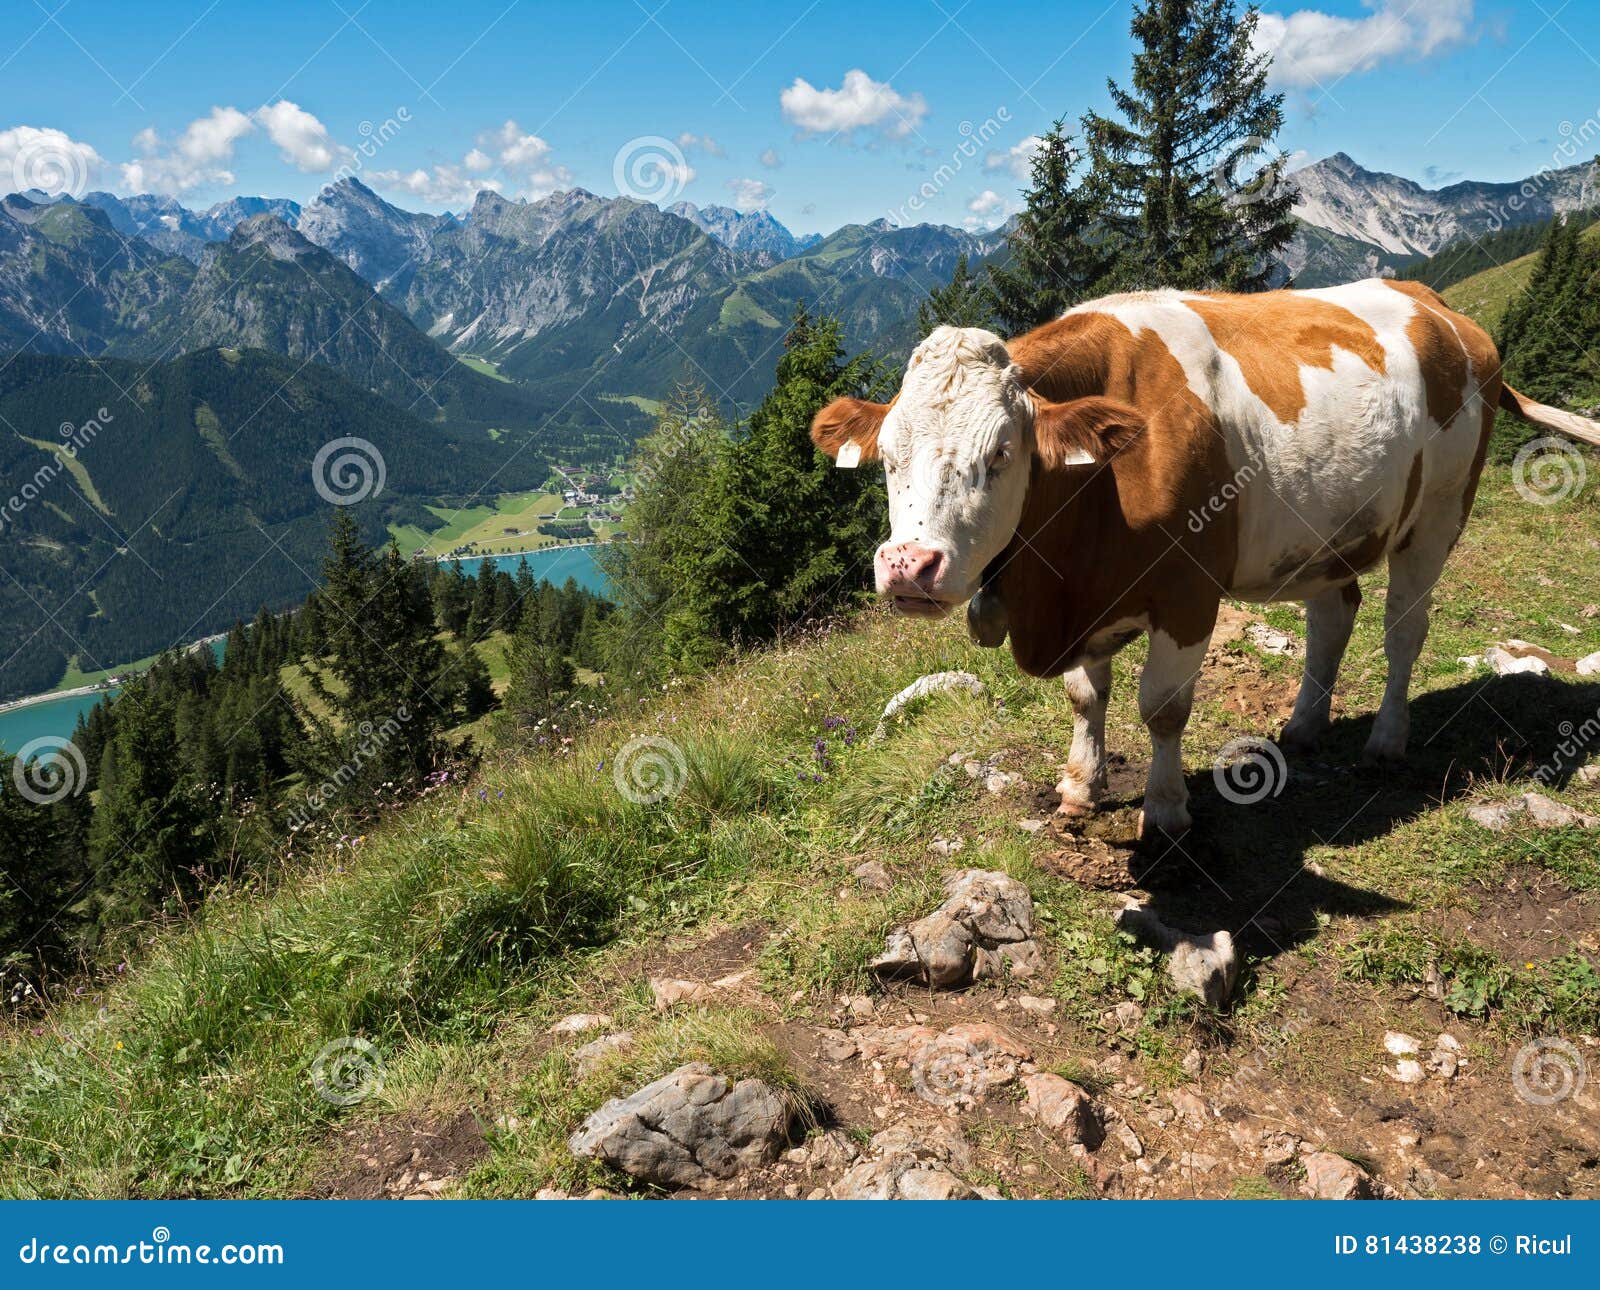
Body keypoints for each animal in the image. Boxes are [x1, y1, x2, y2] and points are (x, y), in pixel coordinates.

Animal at [811, 279, 1600, 837]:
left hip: (1435, 516)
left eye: (1002, 453)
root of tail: (1439, 307)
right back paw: (1304, 726)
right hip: (1330, 528)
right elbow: (1085, 695)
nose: (908, 566)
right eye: (888, 457)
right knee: (1333, 617)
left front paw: (1164, 810)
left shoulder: (1188, 593)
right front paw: (1080, 785)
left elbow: (1162, 709)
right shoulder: (1086, 593)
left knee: (1403, 630)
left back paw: (1385, 739)